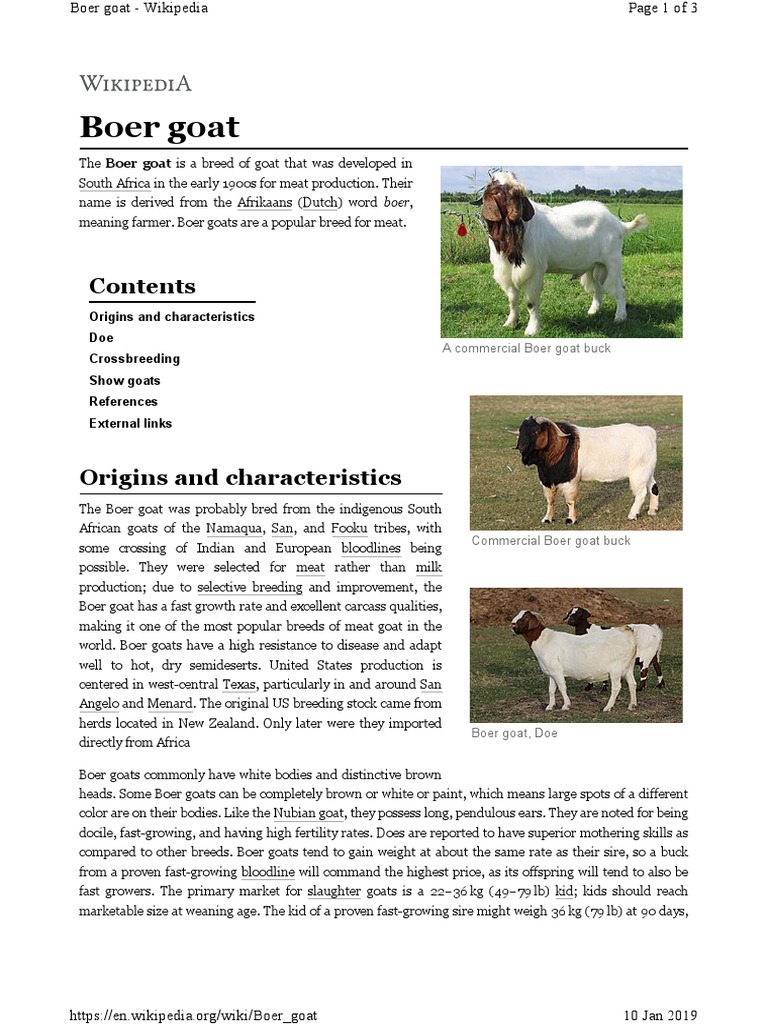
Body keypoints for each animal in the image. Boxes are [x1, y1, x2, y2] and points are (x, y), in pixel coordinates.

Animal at [482, 171, 648, 335]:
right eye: (496, 189)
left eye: (520, 193)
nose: (516, 213)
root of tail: (619, 224)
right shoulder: (506, 272)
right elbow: (512, 299)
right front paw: (510, 323)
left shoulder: (534, 271)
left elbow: (531, 303)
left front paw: (532, 329)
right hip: (595, 265)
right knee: (598, 288)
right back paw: (594, 311)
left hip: (612, 262)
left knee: (620, 288)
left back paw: (620, 317)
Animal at [514, 415, 659, 523]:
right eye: (520, 431)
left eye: (536, 431)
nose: (521, 446)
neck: (562, 446)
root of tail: (648, 433)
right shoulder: (547, 481)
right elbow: (550, 500)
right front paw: (547, 519)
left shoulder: (571, 481)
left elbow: (570, 501)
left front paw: (571, 520)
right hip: (647, 471)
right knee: (653, 487)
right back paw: (652, 511)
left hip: (638, 474)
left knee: (641, 493)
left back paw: (632, 515)